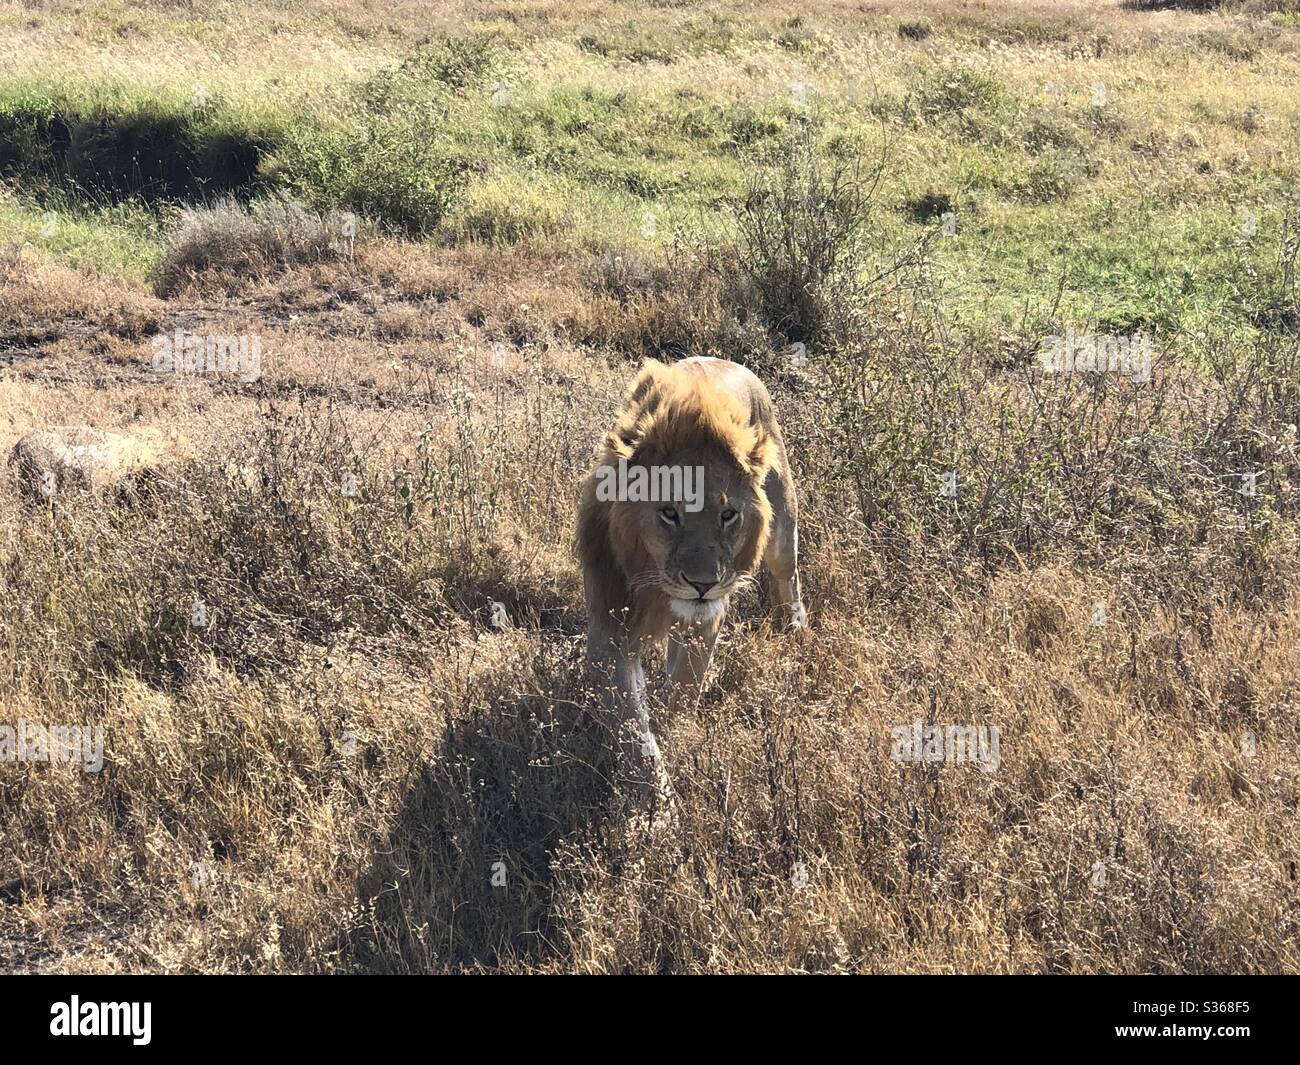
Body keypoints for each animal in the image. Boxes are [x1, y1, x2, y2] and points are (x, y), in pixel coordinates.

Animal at [576, 356, 806, 781]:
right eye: (669, 513)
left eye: (728, 515)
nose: (703, 585)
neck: (652, 583)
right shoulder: (610, 627)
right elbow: (635, 735)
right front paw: (655, 795)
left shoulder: (706, 619)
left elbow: (685, 687)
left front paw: (676, 736)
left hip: (783, 523)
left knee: (788, 573)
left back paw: (795, 627)